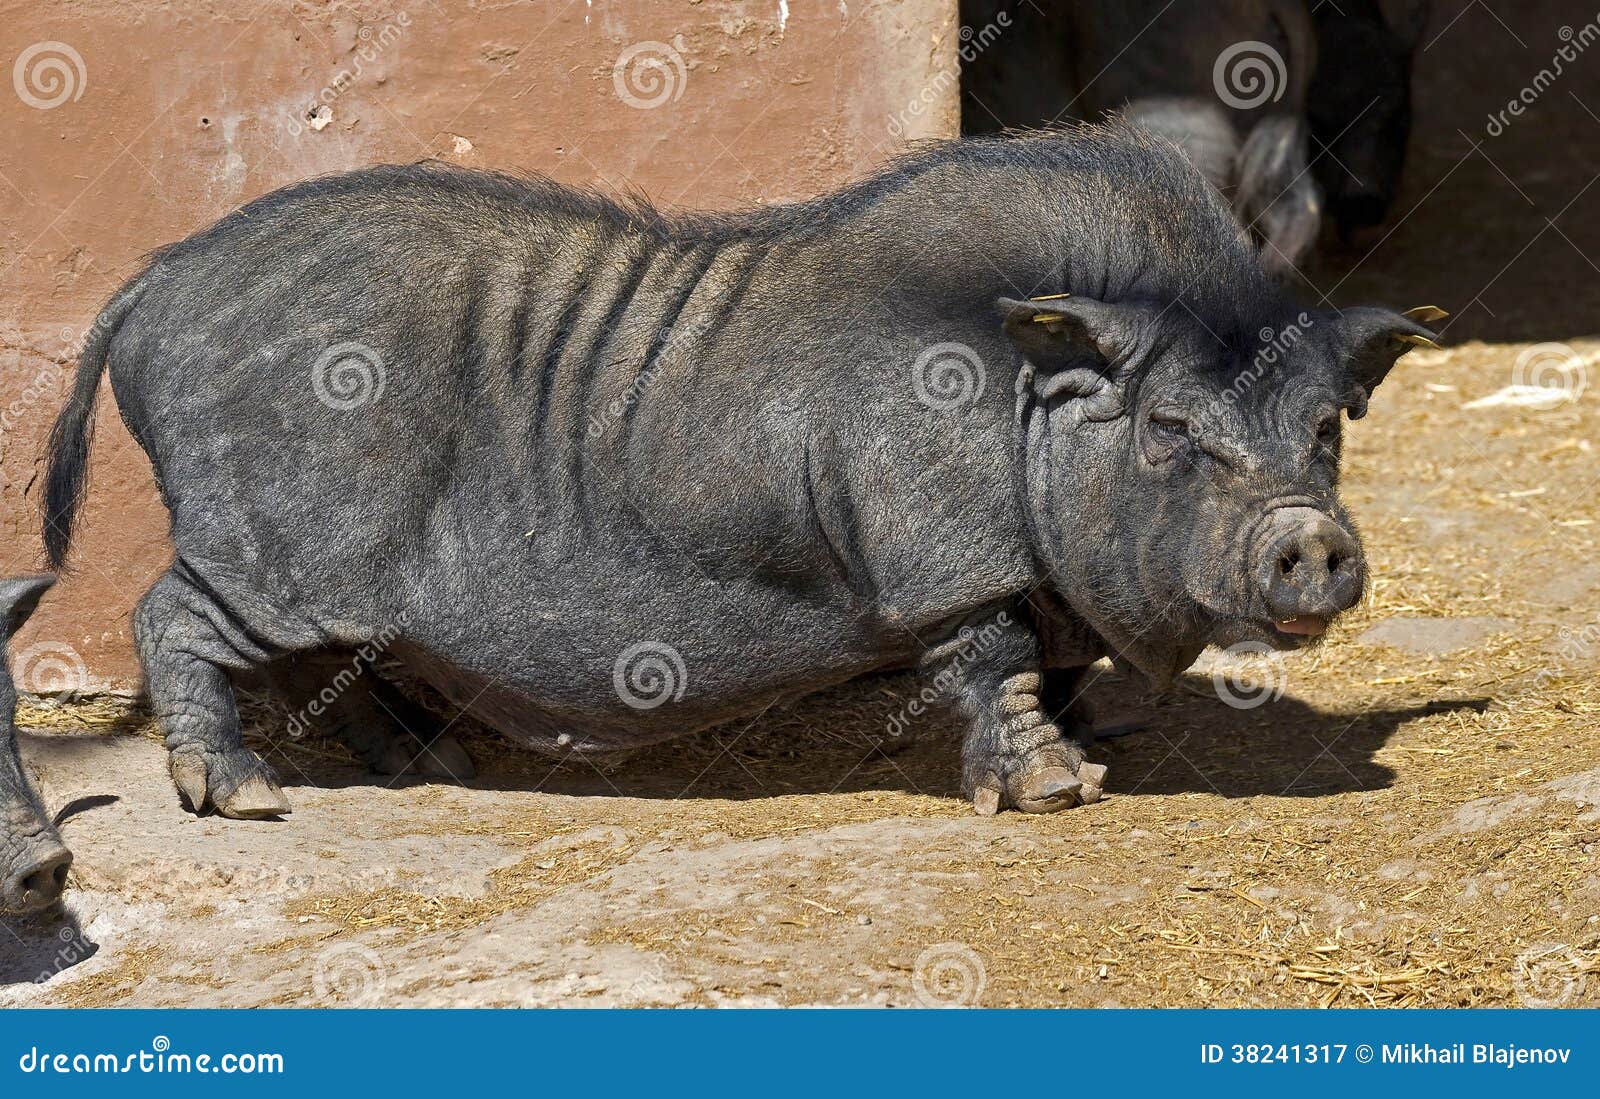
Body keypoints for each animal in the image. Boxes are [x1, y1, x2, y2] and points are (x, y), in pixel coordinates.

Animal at [37, 123, 1439, 821]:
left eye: (1327, 427)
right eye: (1171, 429)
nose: (1311, 535)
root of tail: (154, 280)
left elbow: (1055, 655)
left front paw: (1103, 751)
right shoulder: (934, 547)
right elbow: (988, 657)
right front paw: (1056, 794)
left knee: (326, 651)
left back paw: (423, 769)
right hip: (271, 530)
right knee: (172, 611)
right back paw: (247, 798)